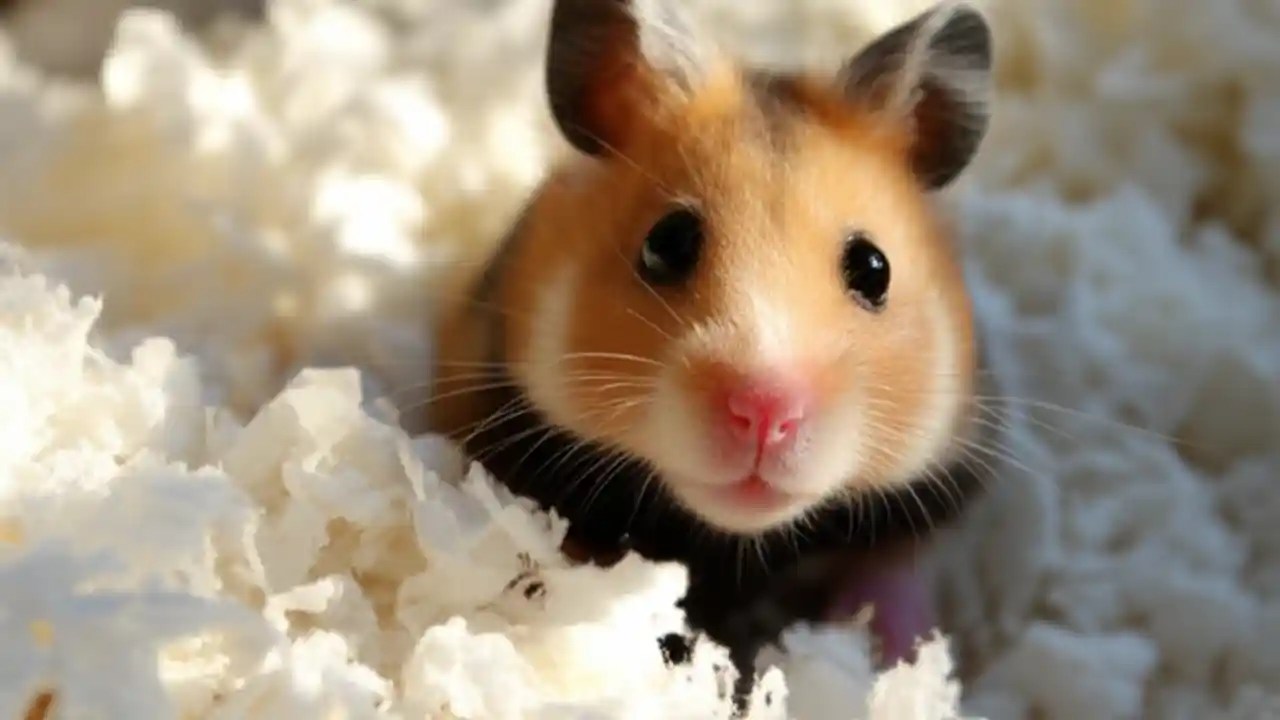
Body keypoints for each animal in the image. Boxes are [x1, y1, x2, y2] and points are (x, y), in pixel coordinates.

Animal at [424, 0, 996, 702]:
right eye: (666, 244)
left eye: (873, 268)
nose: (765, 412)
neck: (734, 541)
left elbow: (892, 576)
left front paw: (897, 665)